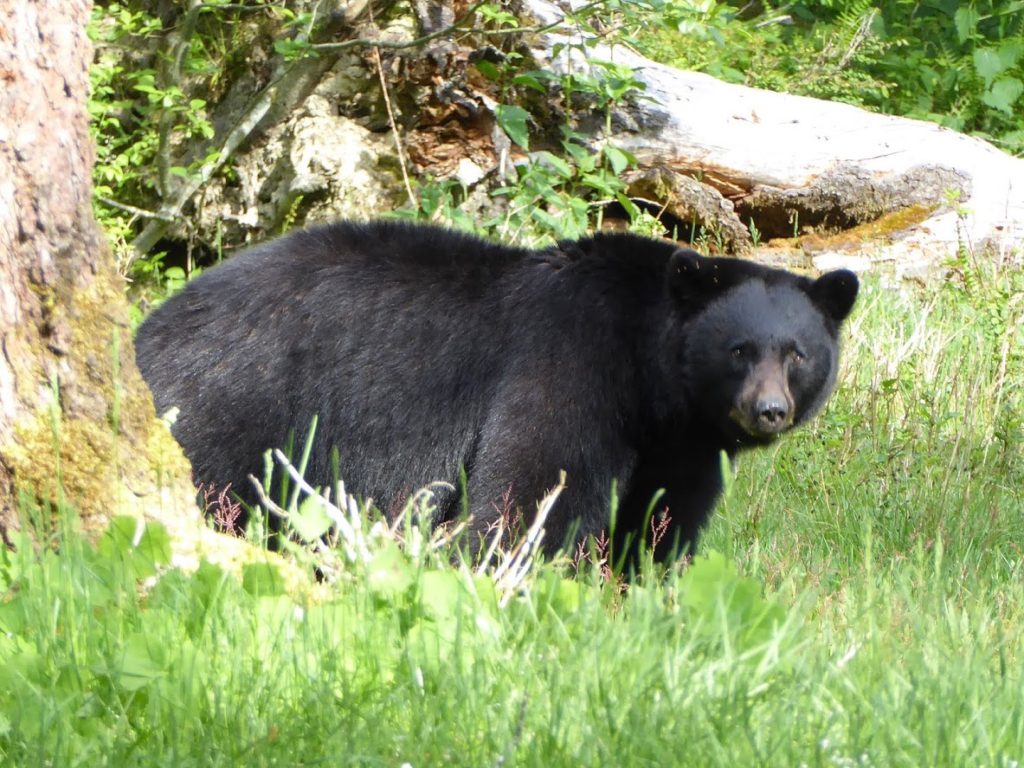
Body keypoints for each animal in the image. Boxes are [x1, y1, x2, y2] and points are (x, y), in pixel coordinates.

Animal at [134, 220, 858, 561]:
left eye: (796, 354)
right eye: (739, 350)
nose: (768, 411)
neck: (649, 375)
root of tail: (150, 328)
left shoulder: (682, 445)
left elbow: (662, 521)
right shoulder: (568, 365)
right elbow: (528, 493)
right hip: (237, 394)